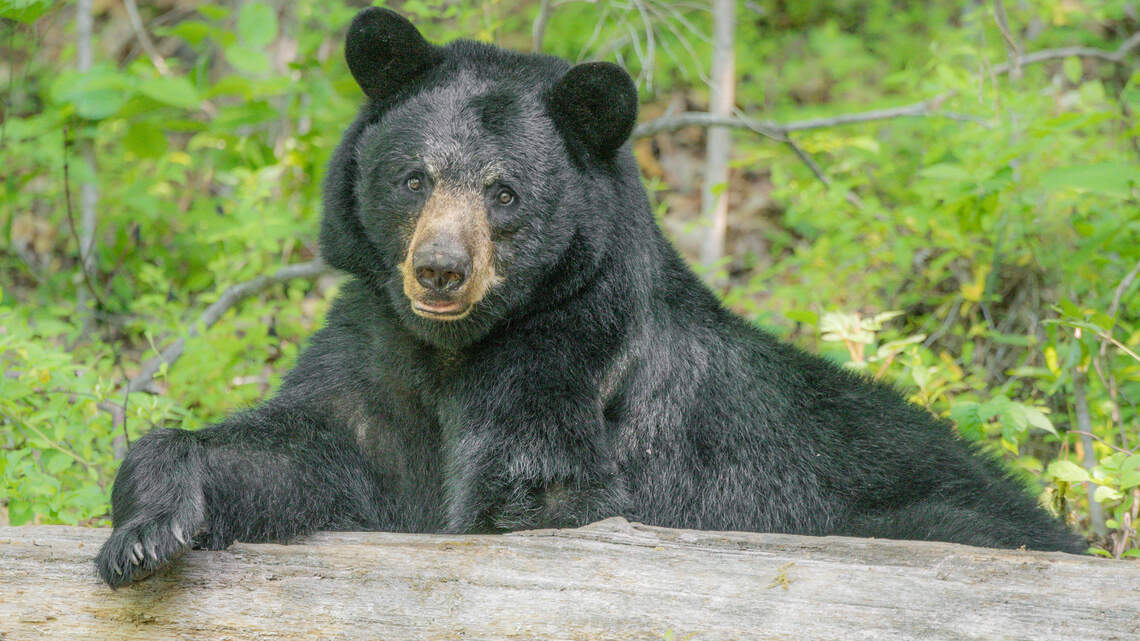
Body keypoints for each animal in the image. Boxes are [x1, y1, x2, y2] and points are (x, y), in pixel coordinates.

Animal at [95, 7, 1085, 588]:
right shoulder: (374, 358)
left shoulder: (566, 362)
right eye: (415, 177)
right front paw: (148, 525)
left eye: (503, 192)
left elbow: (541, 498)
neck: (456, 347)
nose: (440, 270)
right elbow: (303, 448)